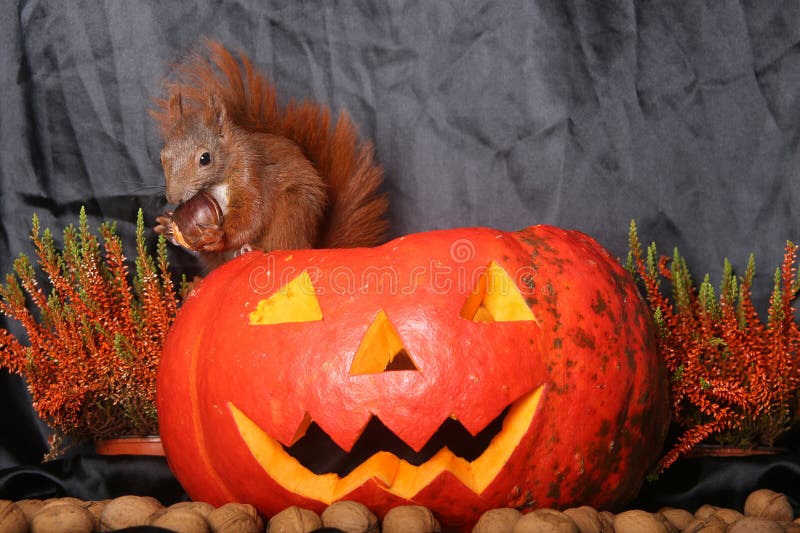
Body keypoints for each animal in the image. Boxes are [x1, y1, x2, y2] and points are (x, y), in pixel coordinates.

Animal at [151, 40, 388, 269]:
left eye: (205, 158)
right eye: (162, 157)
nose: (173, 198)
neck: (216, 184)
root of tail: (311, 246)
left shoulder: (251, 174)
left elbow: (252, 215)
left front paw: (220, 236)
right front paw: (168, 226)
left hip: (291, 212)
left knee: (282, 243)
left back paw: (251, 247)